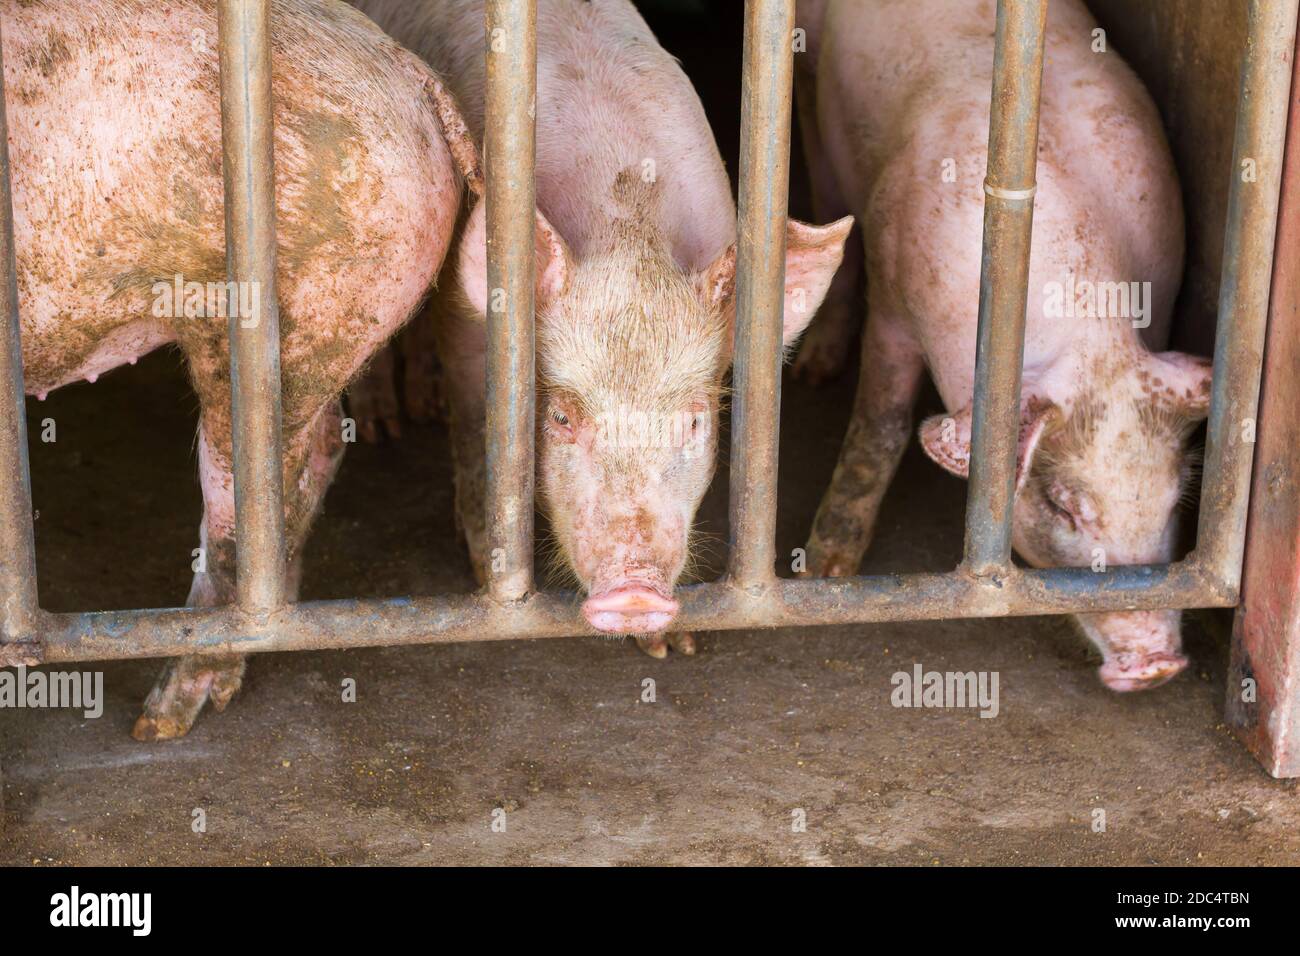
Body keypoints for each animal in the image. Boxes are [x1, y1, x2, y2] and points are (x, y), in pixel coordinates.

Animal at [351, 0, 852, 657]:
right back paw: (384, 424)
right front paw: (489, 578)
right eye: (563, 418)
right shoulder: (464, 326)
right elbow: (474, 431)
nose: (635, 592)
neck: (629, 221)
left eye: (695, 421)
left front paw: (673, 649)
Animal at [795, 0, 1211, 690]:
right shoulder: (895, 301)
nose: (1158, 664)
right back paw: (812, 373)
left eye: (1172, 500)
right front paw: (826, 571)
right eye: (1063, 506)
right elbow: (882, 427)